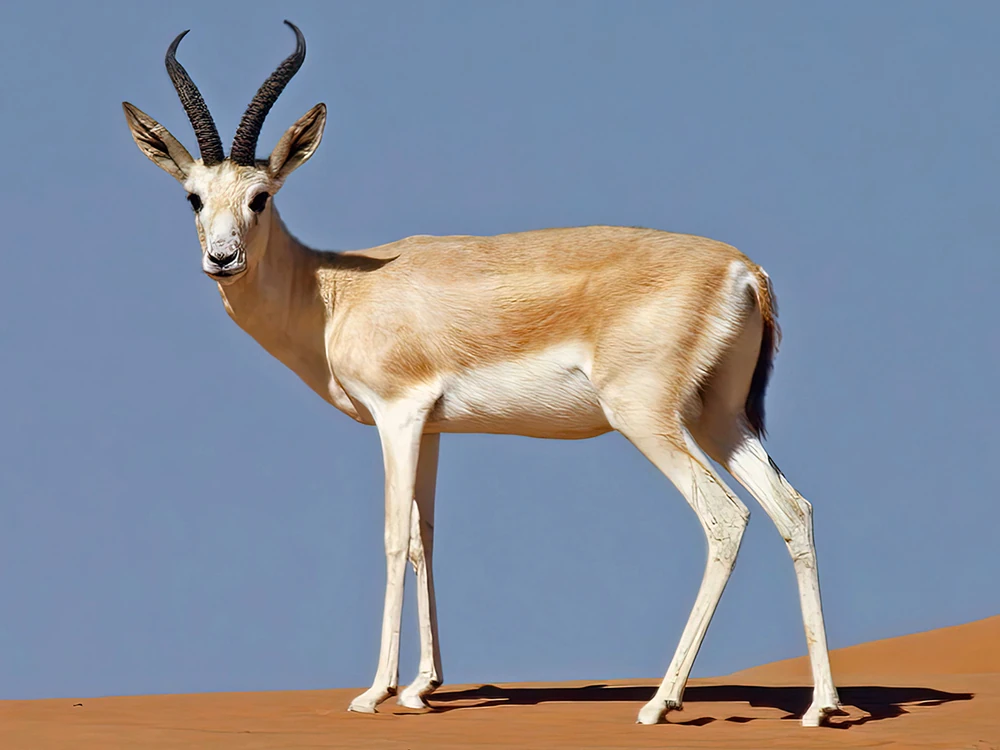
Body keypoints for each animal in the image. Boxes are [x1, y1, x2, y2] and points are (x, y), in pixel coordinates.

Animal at [122, 21, 843, 727]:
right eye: (193, 198)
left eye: (261, 197)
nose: (222, 259)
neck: (334, 291)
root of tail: (743, 269)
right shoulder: (433, 429)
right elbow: (424, 540)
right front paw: (422, 687)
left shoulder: (397, 415)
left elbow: (392, 537)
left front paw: (375, 692)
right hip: (720, 418)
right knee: (793, 510)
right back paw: (820, 705)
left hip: (647, 419)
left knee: (725, 517)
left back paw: (661, 701)